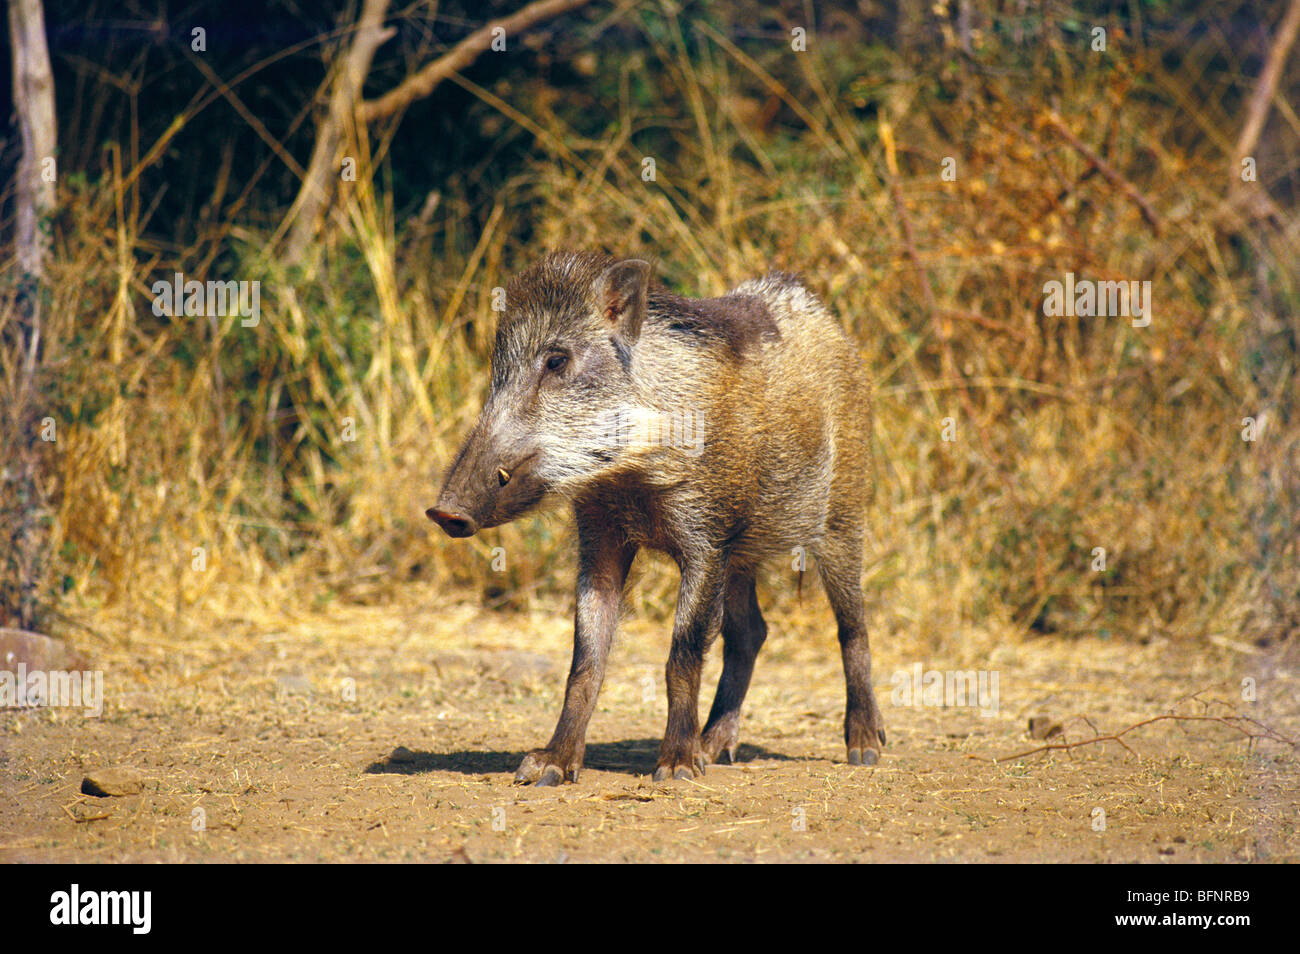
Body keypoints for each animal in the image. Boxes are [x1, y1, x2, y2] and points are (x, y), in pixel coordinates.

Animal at [428, 250, 885, 784]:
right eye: (496, 368)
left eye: (557, 360)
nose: (443, 511)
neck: (631, 480)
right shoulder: (603, 536)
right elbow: (585, 658)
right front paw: (543, 769)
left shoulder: (706, 537)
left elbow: (681, 653)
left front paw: (677, 770)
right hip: (742, 555)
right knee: (751, 632)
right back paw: (715, 748)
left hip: (842, 515)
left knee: (853, 625)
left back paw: (864, 750)